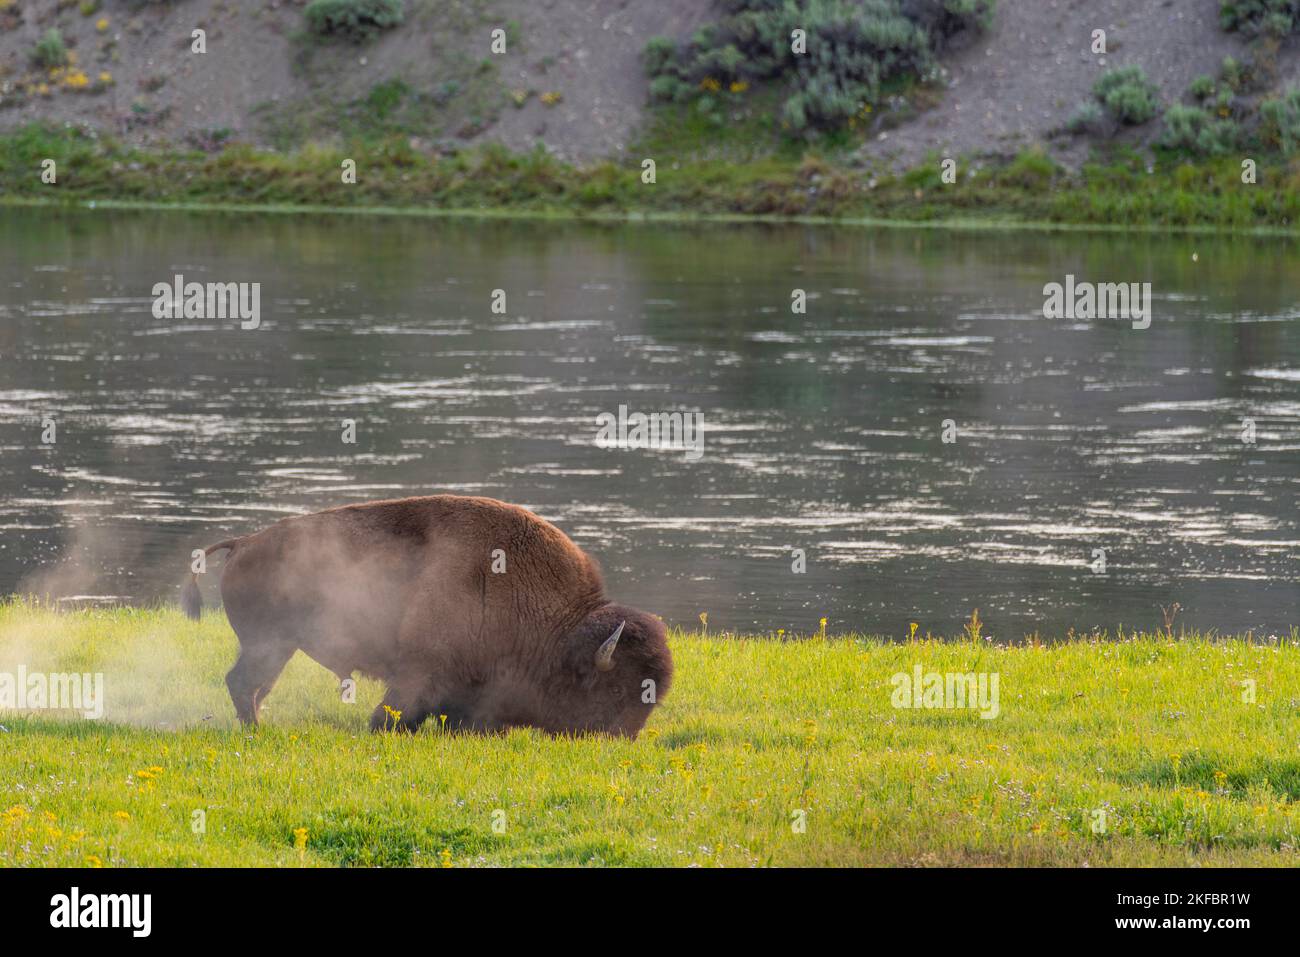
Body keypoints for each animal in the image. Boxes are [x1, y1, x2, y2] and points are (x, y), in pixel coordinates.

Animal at [181, 495, 672, 737]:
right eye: (615, 688)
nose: (622, 739)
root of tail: (245, 542)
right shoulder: (421, 670)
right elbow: (393, 713)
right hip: (268, 644)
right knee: (242, 683)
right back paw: (257, 733)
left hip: (280, 648)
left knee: (254, 686)